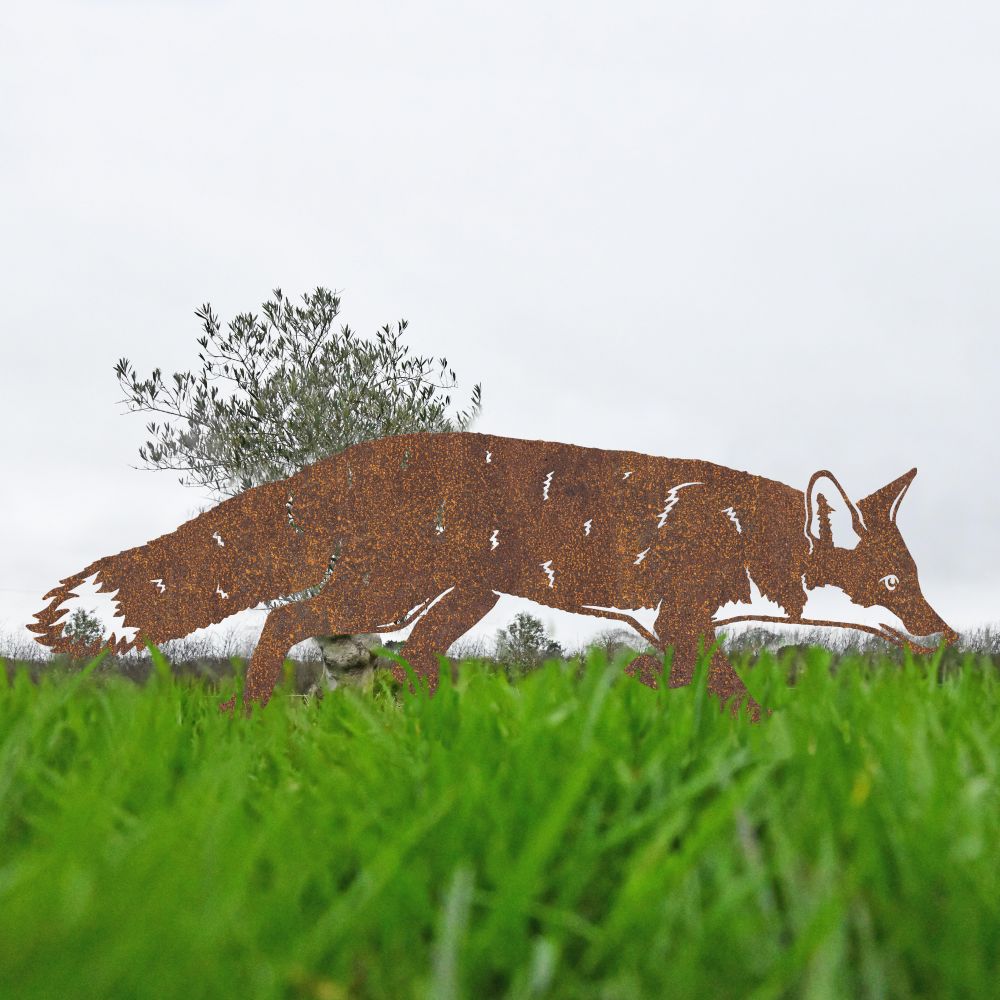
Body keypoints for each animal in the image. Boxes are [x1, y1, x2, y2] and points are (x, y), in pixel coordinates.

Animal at [30, 432, 957, 722]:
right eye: (896, 587)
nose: (947, 636)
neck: (741, 534)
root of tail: (374, 450)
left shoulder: (662, 631)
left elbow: (655, 682)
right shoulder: (681, 619)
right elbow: (735, 696)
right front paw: (773, 734)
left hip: (462, 598)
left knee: (412, 657)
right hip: (389, 593)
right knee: (285, 620)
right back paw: (252, 716)